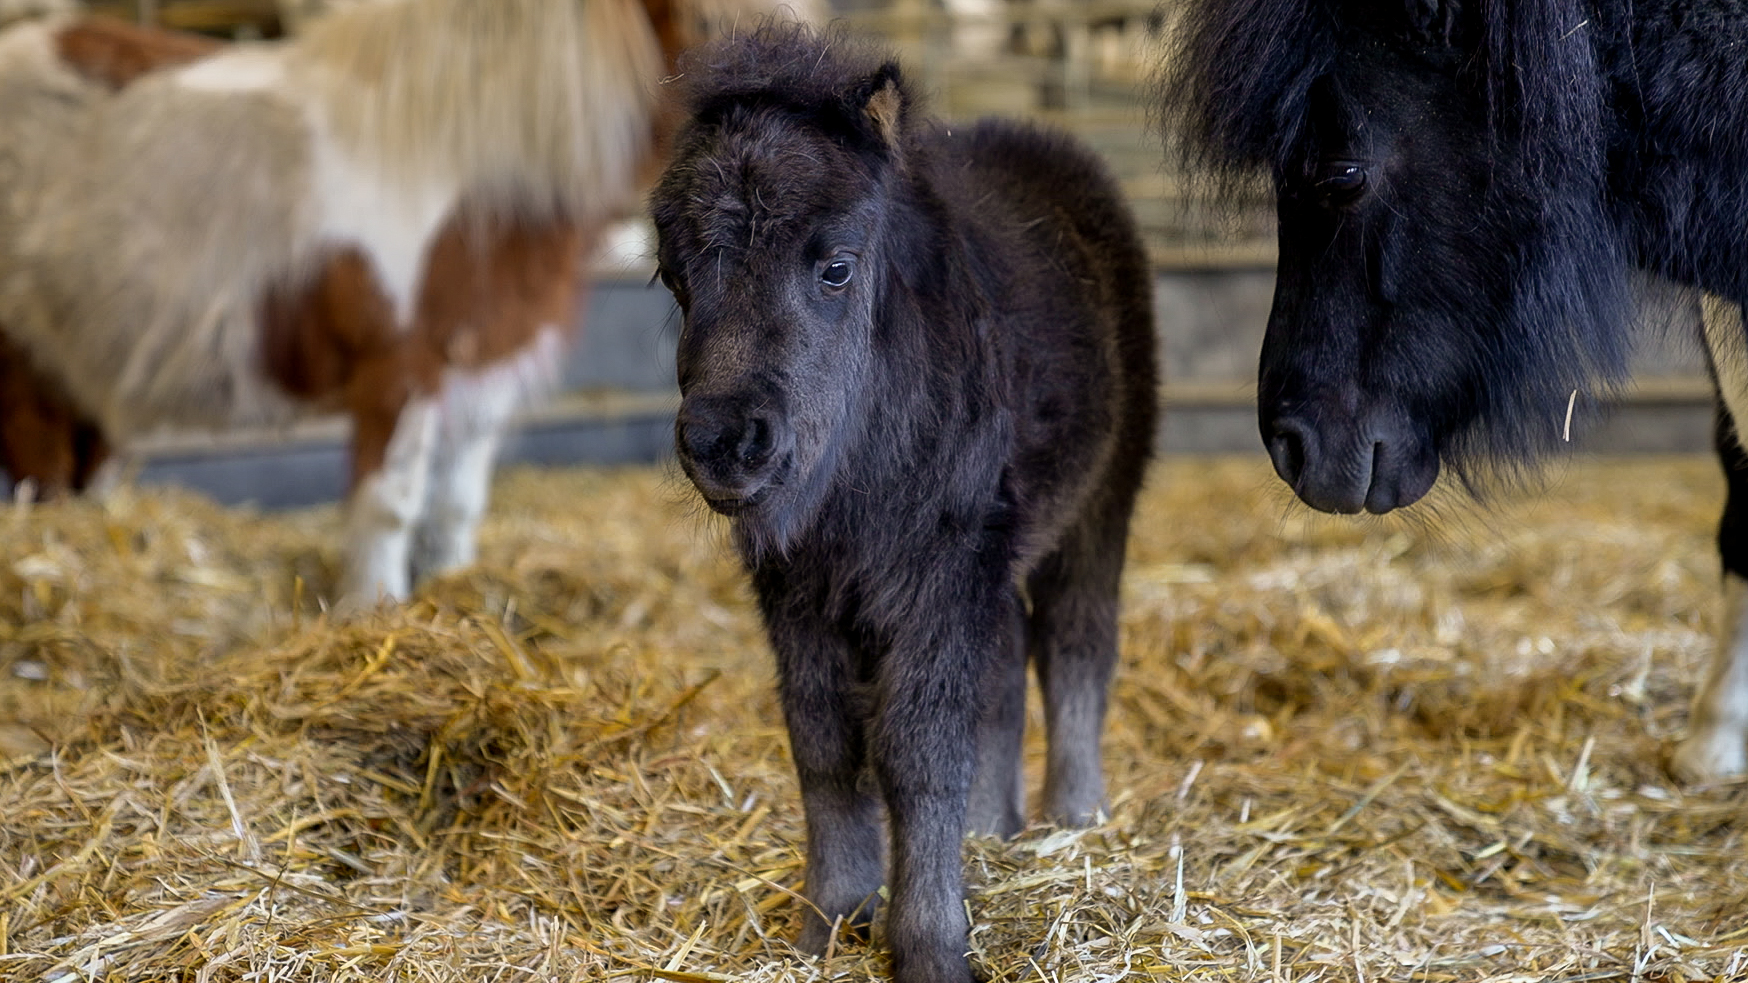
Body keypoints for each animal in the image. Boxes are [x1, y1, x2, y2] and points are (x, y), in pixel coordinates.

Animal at [0, 0, 809, 606]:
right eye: (706, 24)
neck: (460, 163)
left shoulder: (479, 368)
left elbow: (453, 505)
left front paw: (448, 596)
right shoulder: (401, 370)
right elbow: (390, 502)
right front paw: (373, 611)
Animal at [650, 22, 1158, 983]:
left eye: (836, 267)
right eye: (672, 273)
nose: (724, 442)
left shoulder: (937, 575)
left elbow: (917, 752)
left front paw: (929, 945)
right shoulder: (800, 592)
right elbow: (823, 743)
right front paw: (828, 919)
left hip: (1100, 498)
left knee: (1076, 643)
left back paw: (1077, 818)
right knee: (1006, 660)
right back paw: (994, 831)